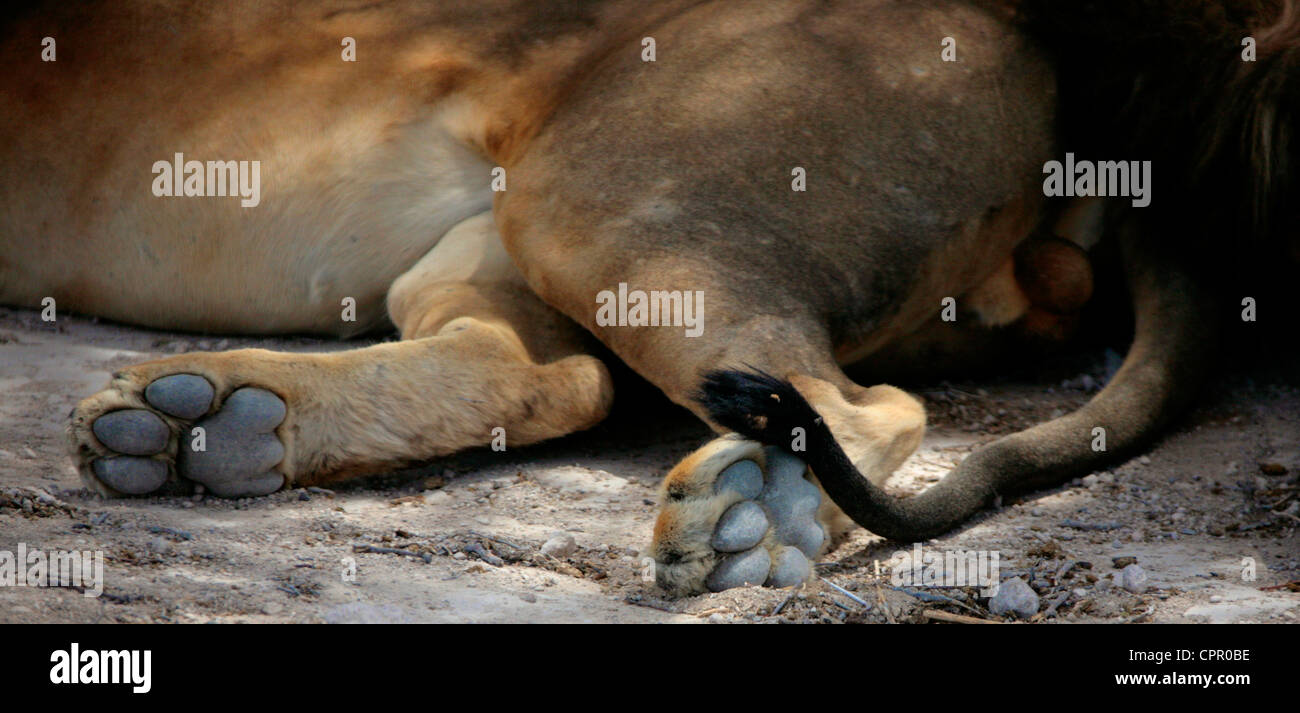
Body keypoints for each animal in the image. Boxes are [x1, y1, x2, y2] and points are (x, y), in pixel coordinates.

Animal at [1, 0, 1295, 595]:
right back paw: (204, 423)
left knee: (854, 405)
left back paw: (750, 518)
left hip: (605, 197)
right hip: (508, 233)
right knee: (553, 373)